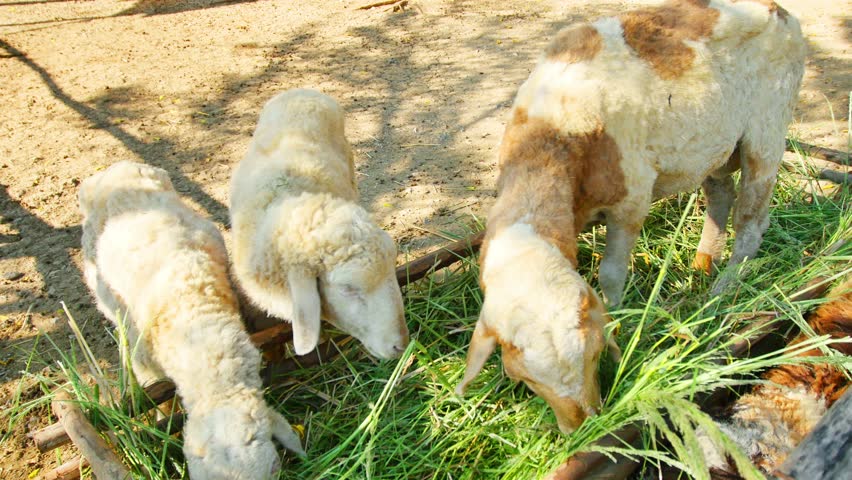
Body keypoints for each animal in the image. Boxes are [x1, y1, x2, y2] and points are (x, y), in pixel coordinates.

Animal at [456, 0, 805, 433]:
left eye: (593, 354)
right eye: (525, 379)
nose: (583, 428)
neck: (553, 137)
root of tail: (779, 10)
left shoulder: (631, 201)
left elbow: (610, 274)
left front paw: (621, 319)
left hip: (767, 131)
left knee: (752, 221)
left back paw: (724, 289)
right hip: (719, 144)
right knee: (720, 195)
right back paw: (702, 264)